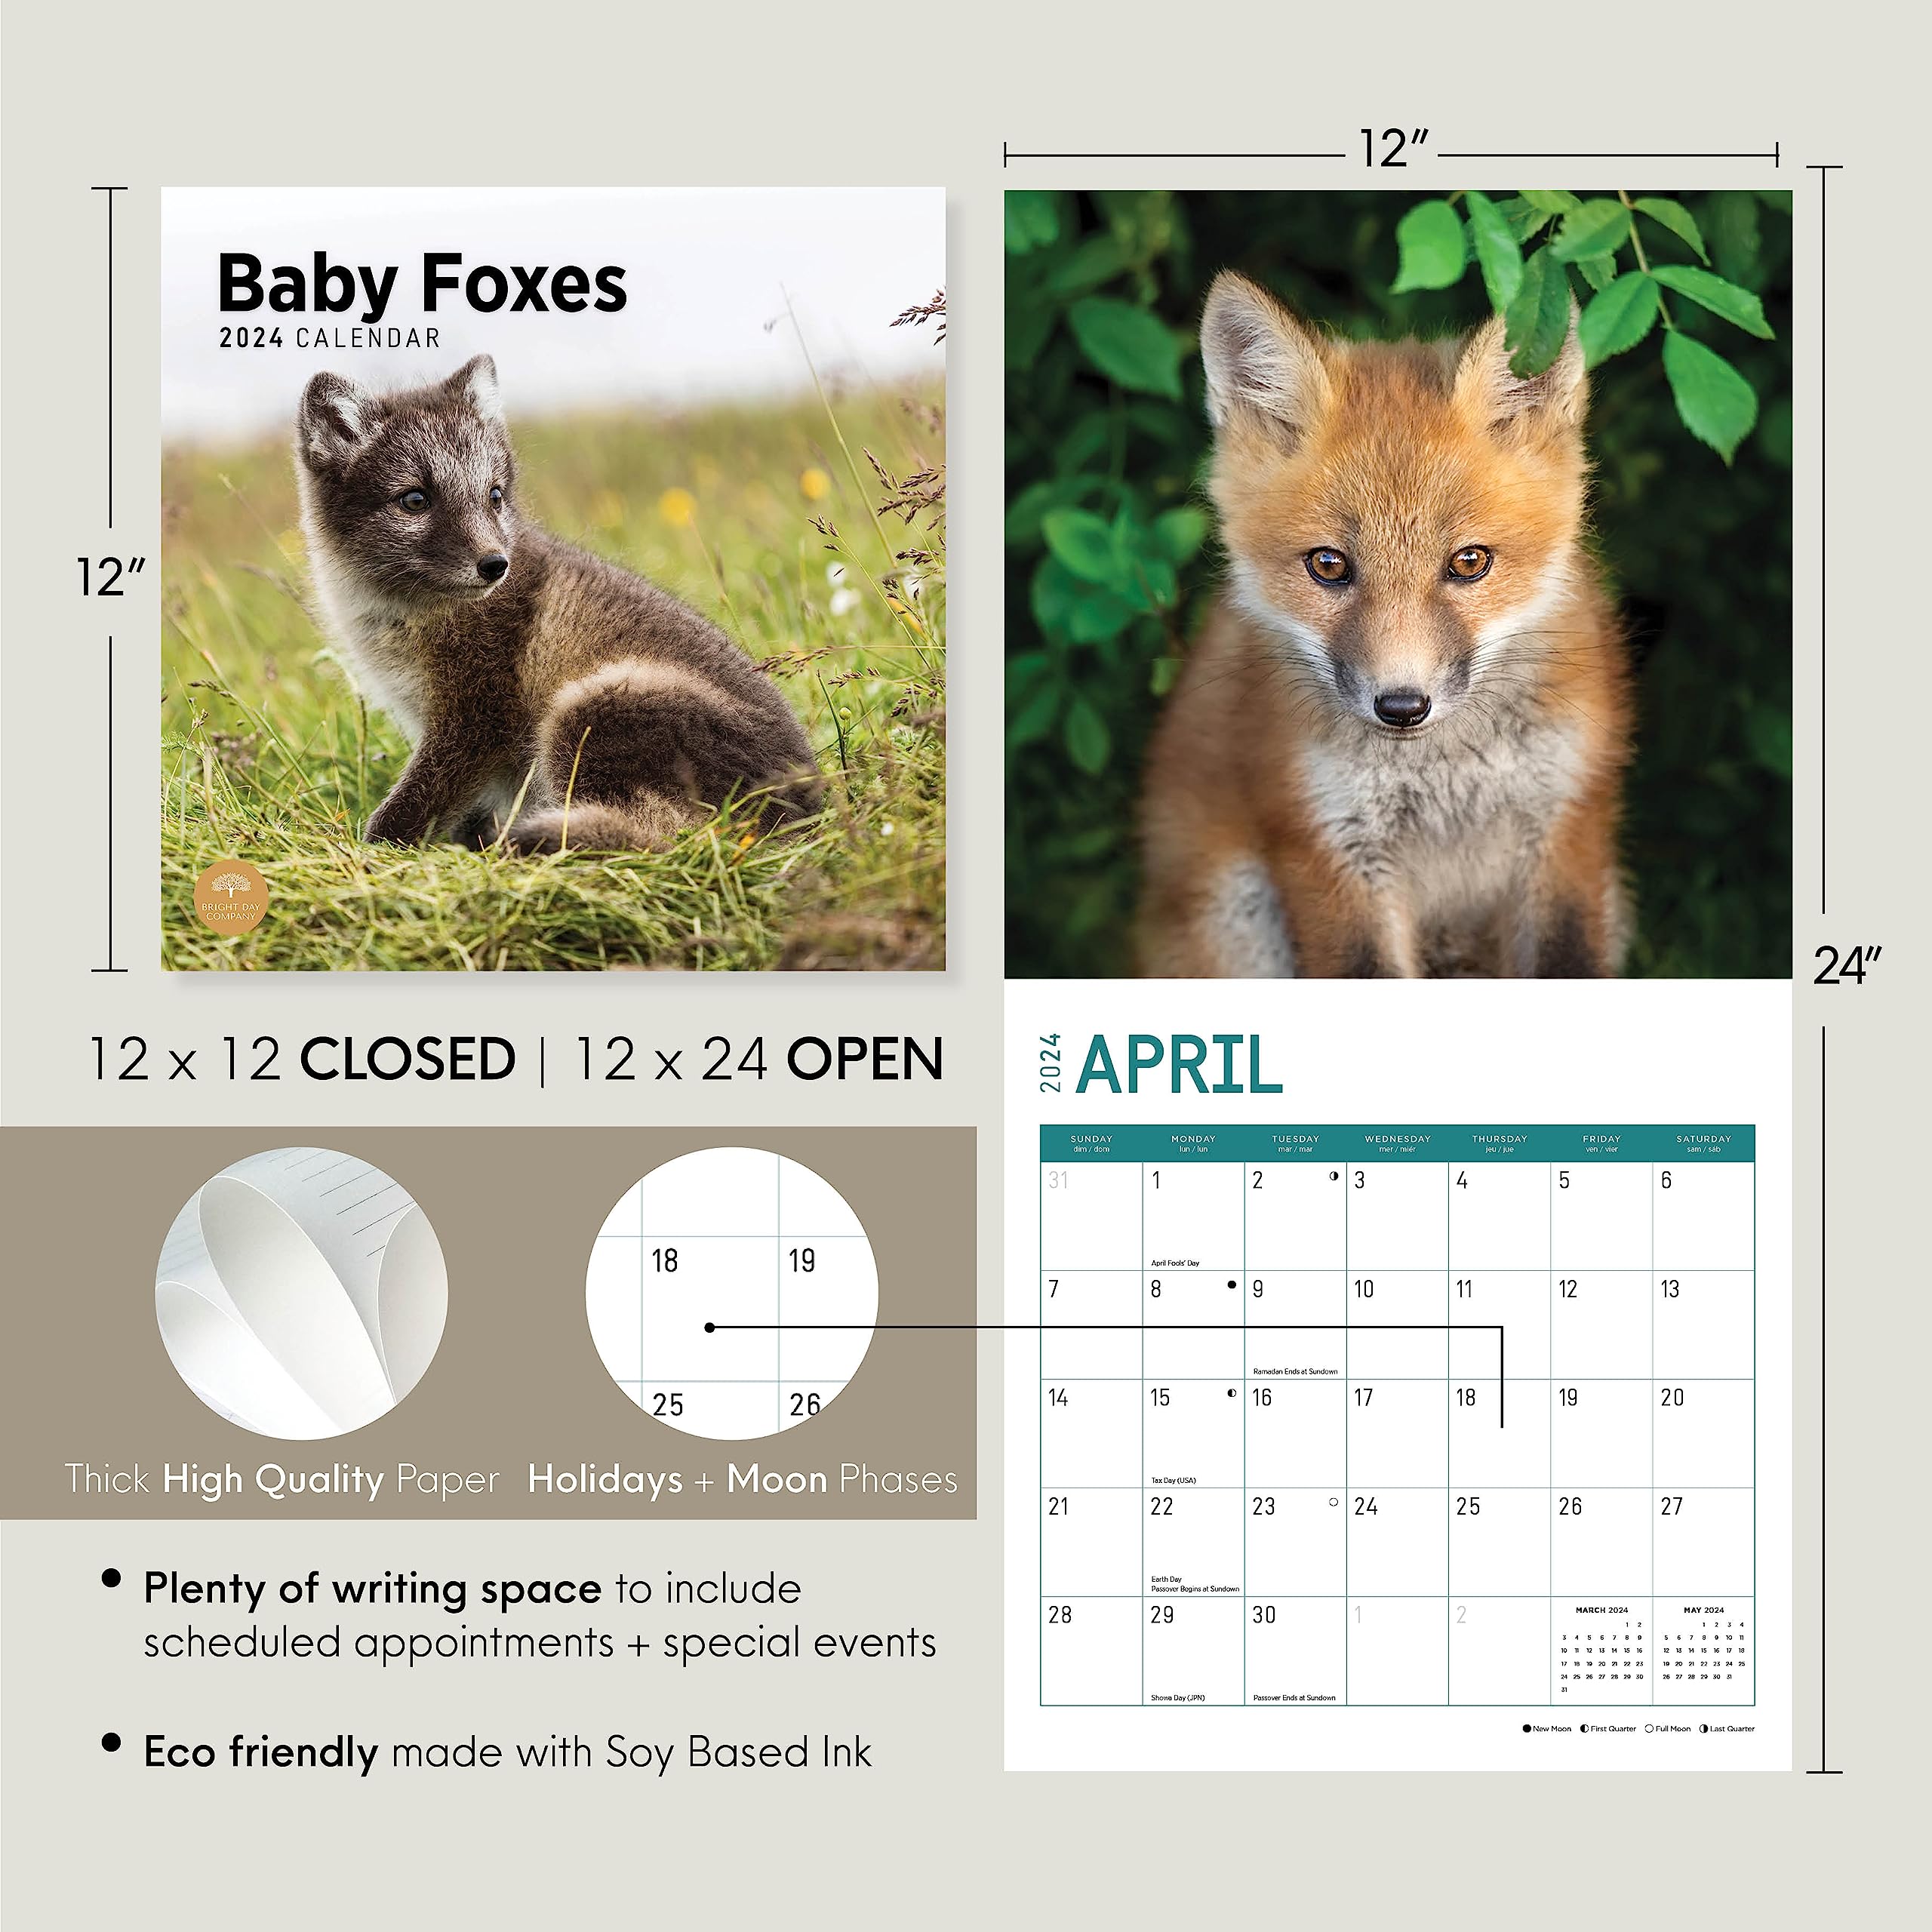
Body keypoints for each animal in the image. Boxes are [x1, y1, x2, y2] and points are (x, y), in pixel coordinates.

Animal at [293, 355, 820, 853]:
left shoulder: (475, 718)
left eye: (494, 495)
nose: (496, 565)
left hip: (593, 705)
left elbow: (409, 808)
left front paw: (369, 853)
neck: (401, 614)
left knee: (660, 838)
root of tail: (807, 814)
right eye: (415, 499)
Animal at [1138, 272, 1633, 978]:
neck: (1444, 775)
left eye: (1469, 562)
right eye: (1328, 565)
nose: (1402, 707)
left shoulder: (1564, 830)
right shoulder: (1329, 850)